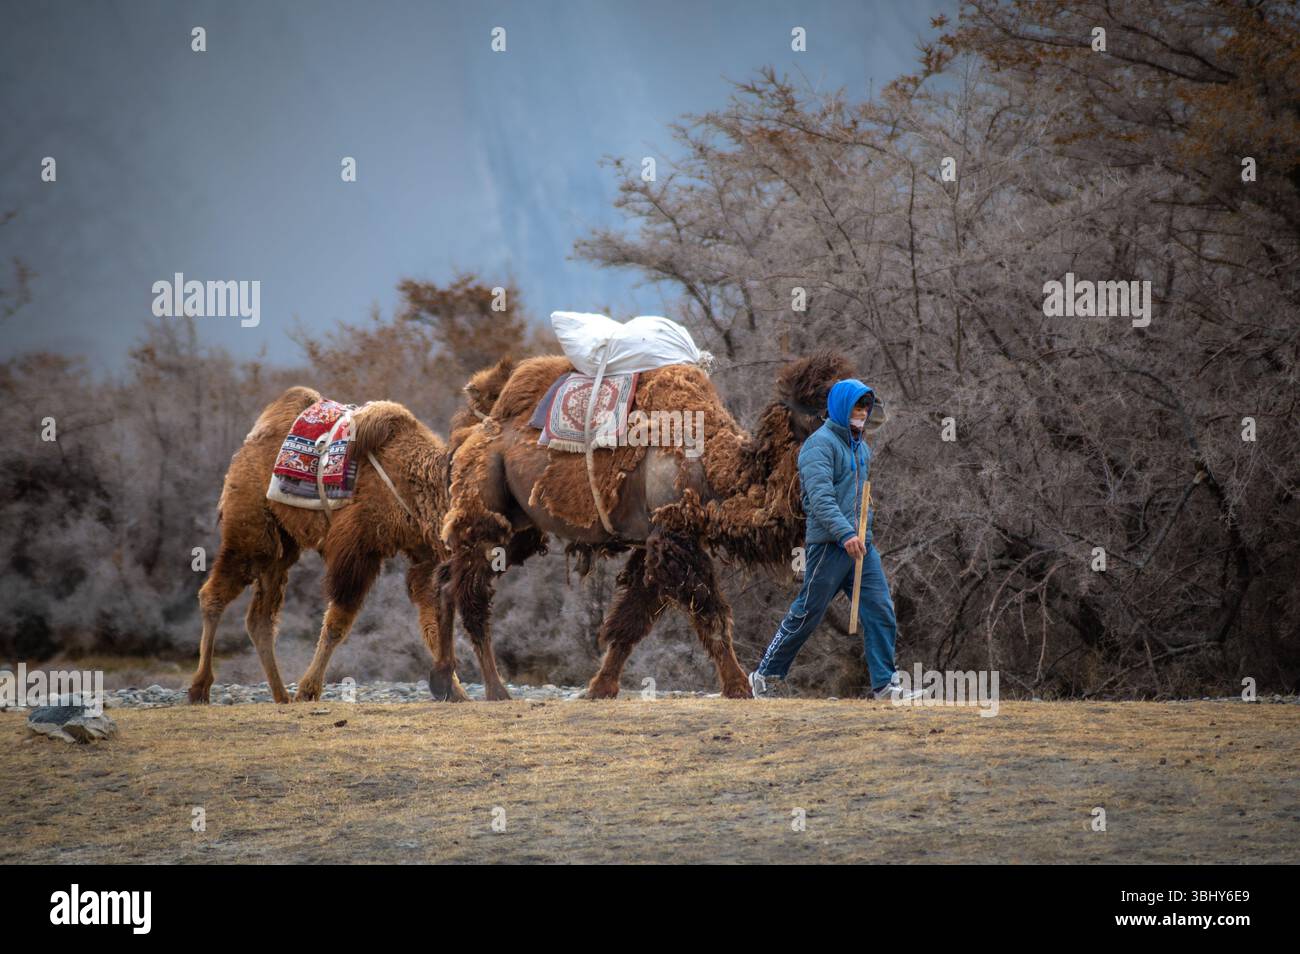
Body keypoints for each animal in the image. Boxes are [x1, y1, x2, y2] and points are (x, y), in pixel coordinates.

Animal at [187, 386, 454, 705]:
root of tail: (249, 442)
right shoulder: (358, 547)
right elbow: (337, 623)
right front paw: (308, 690)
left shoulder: (423, 554)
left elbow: (432, 623)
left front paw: (456, 691)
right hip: (250, 524)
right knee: (214, 593)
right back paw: (199, 688)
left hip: (282, 544)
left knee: (260, 618)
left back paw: (281, 695)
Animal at [436, 350, 887, 701]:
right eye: (818, 398)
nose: (872, 412)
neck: (715, 466)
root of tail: (471, 432)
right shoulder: (674, 536)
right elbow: (710, 613)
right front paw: (739, 686)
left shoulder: (654, 538)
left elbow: (630, 621)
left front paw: (599, 688)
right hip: (486, 509)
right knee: (472, 594)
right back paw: (495, 690)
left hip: (522, 528)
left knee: (446, 580)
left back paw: (448, 685)